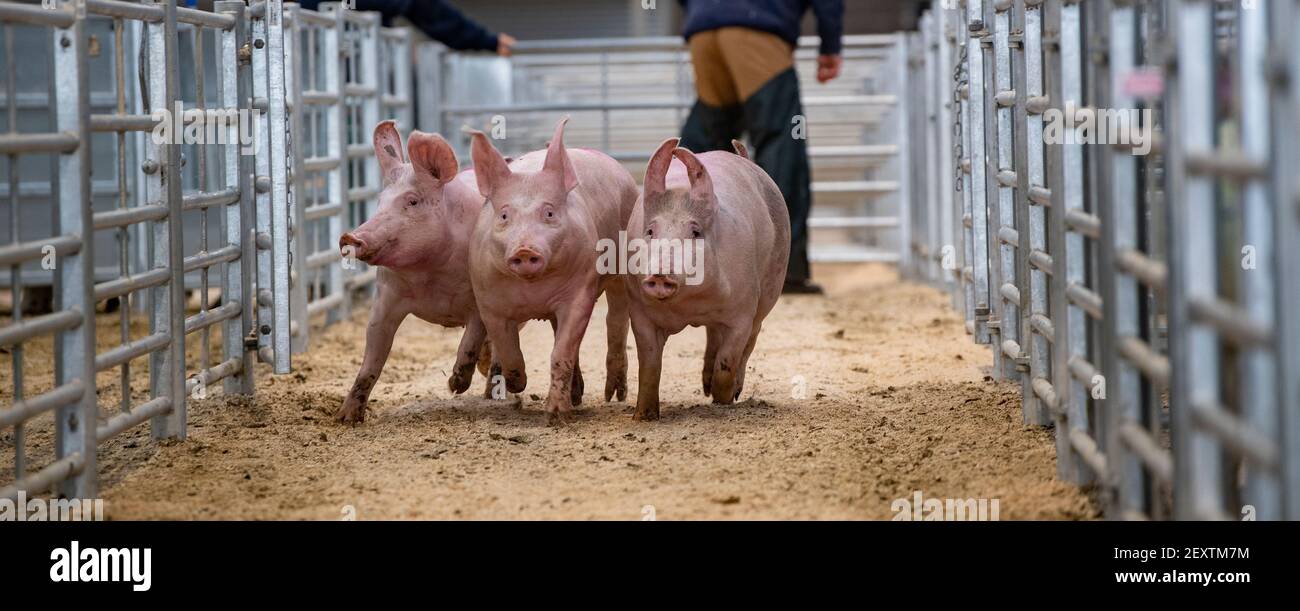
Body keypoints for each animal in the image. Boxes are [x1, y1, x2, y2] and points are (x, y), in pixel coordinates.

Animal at [334, 120, 493, 424]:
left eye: (412, 201)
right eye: (380, 200)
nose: (350, 237)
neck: (430, 274)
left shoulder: (481, 298)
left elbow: (471, 337)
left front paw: (455, 385)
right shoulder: (385, 297)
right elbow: (372, 359)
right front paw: (346, 418)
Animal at [466, 117, 638, 424]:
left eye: (549, 213)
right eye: (504, 215)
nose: (524, 250)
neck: (533, 289)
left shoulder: (580, 292)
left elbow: (561, 352)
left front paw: (556, 415)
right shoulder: (488, 299)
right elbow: (507, 348)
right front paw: (517, 384)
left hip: (621, 262)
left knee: (616, 320)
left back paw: (614, 396)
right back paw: (577, 394)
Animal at [625, 138, 790, 420]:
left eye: (695, 231)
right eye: (650, 231)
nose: (659, 274)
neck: (691, 305)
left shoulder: (741, 312)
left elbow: (728, 361)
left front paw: (722, 401)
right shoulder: (639, 311)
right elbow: (649, 366)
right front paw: (642, 417)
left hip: (769, 290)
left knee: (751, 339)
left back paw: (731, 392)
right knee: (713, 335)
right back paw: (704, 385)